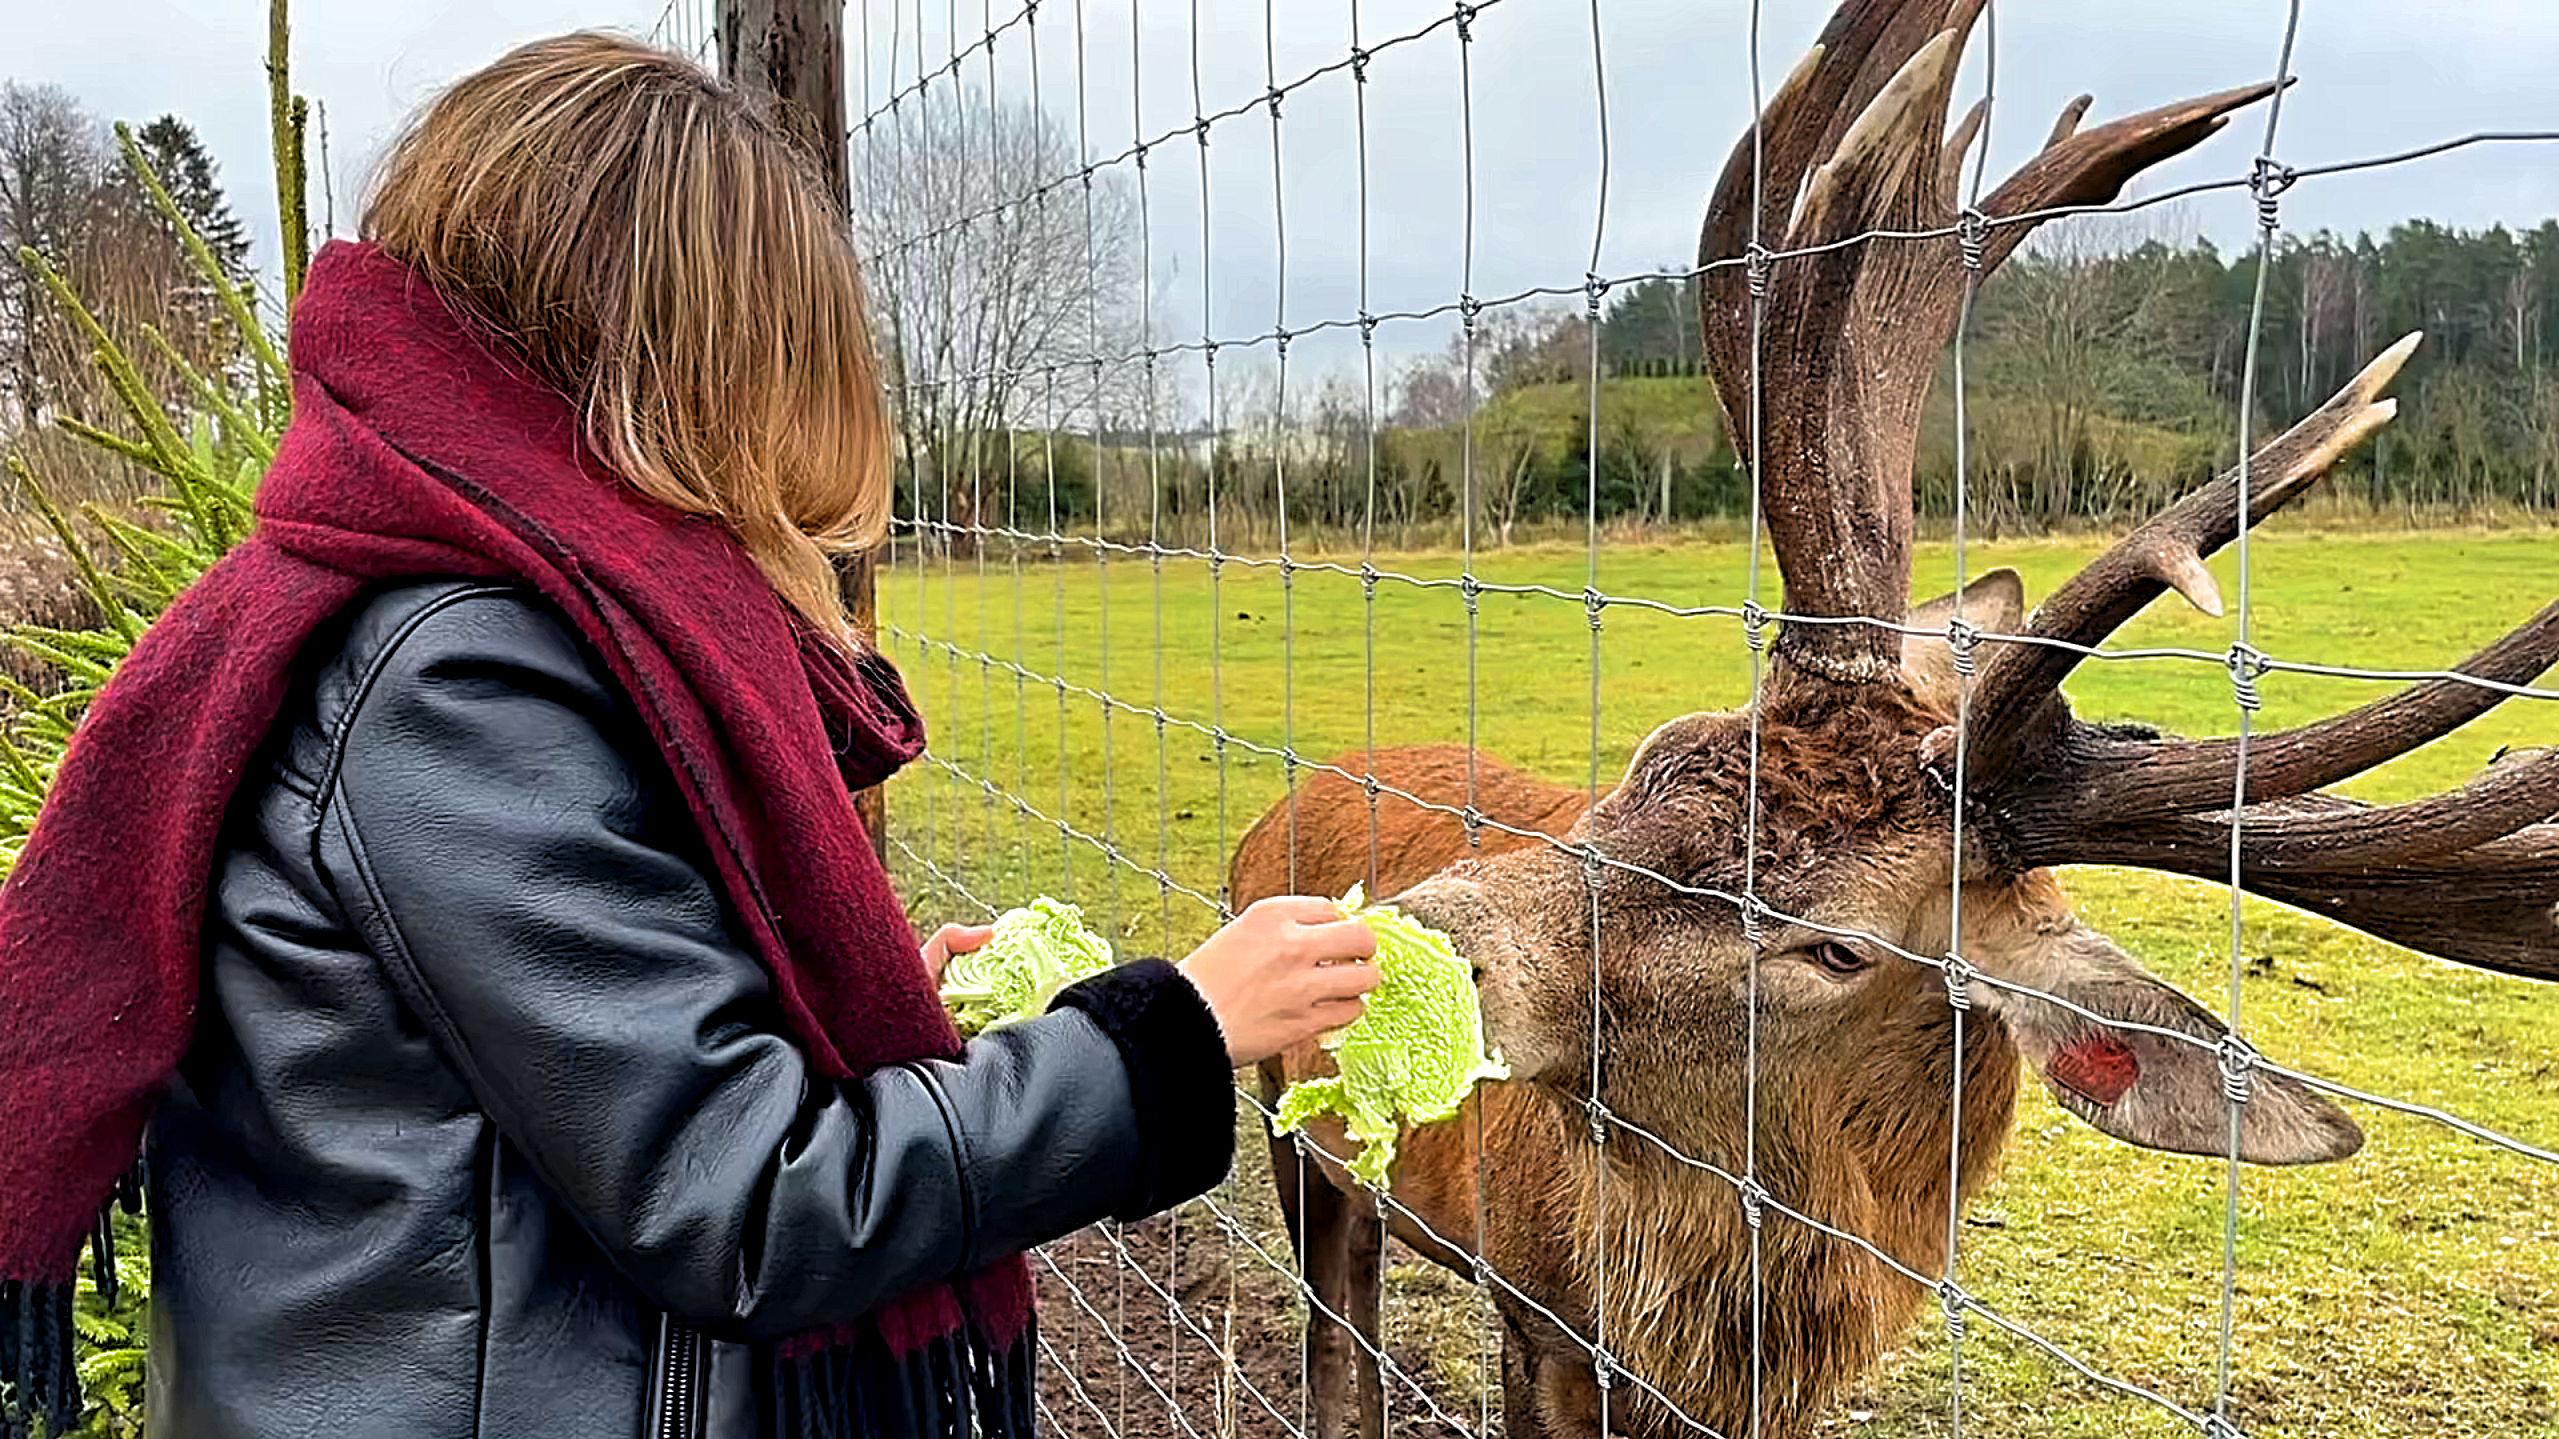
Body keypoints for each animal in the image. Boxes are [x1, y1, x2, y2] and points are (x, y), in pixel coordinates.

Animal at [1226, 3, 2559, 1437]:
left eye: (1835, 947)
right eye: (1651, 752)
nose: (1383, 949)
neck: (1718, 1336)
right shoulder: (1531, 1306)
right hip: (1289, 1127)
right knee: (1337, 1343)